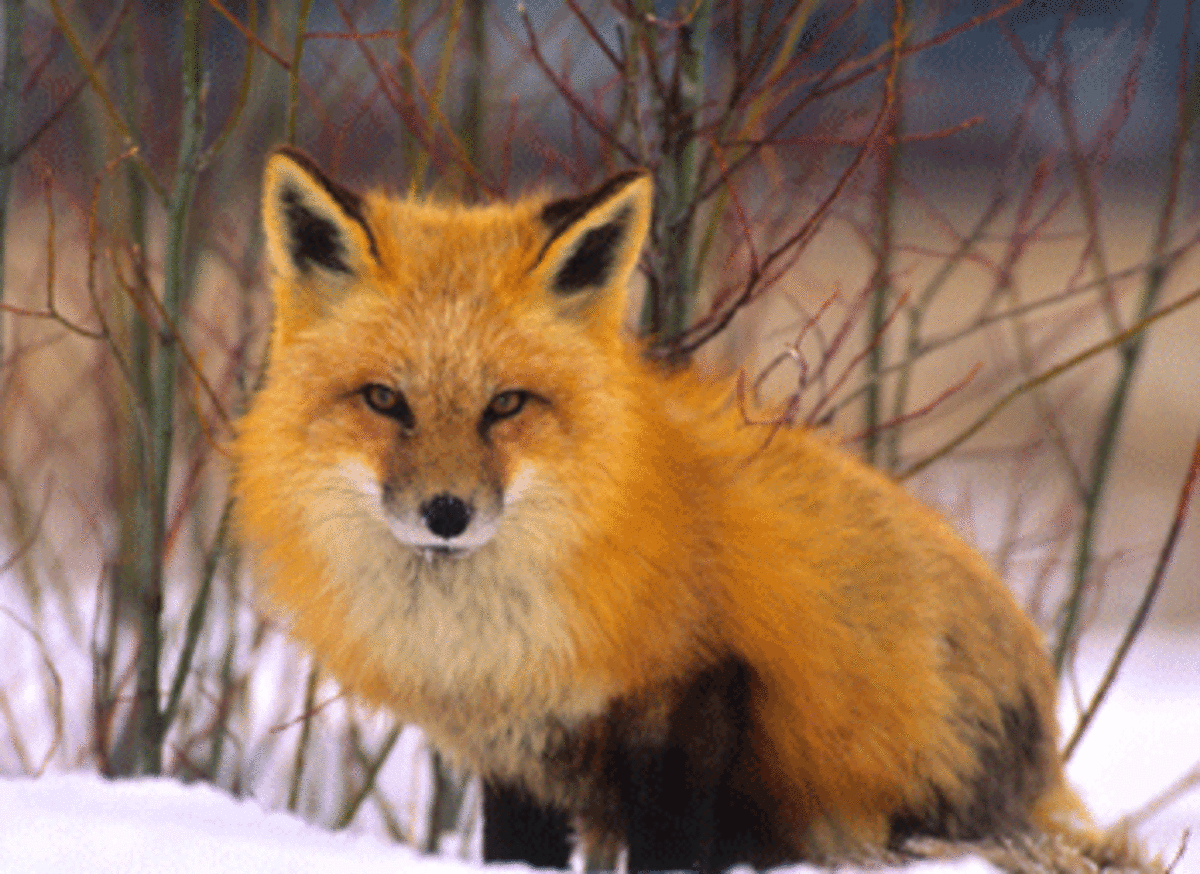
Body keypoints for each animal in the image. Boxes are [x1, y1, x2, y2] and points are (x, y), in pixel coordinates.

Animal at [232, 146, 1156, 873]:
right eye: (385, 400)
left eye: (507, 405)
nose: (447, 513)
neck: (491, 633)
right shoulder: (520, 747)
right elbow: (519, 852)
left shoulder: (698, 690)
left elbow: (671, 843)